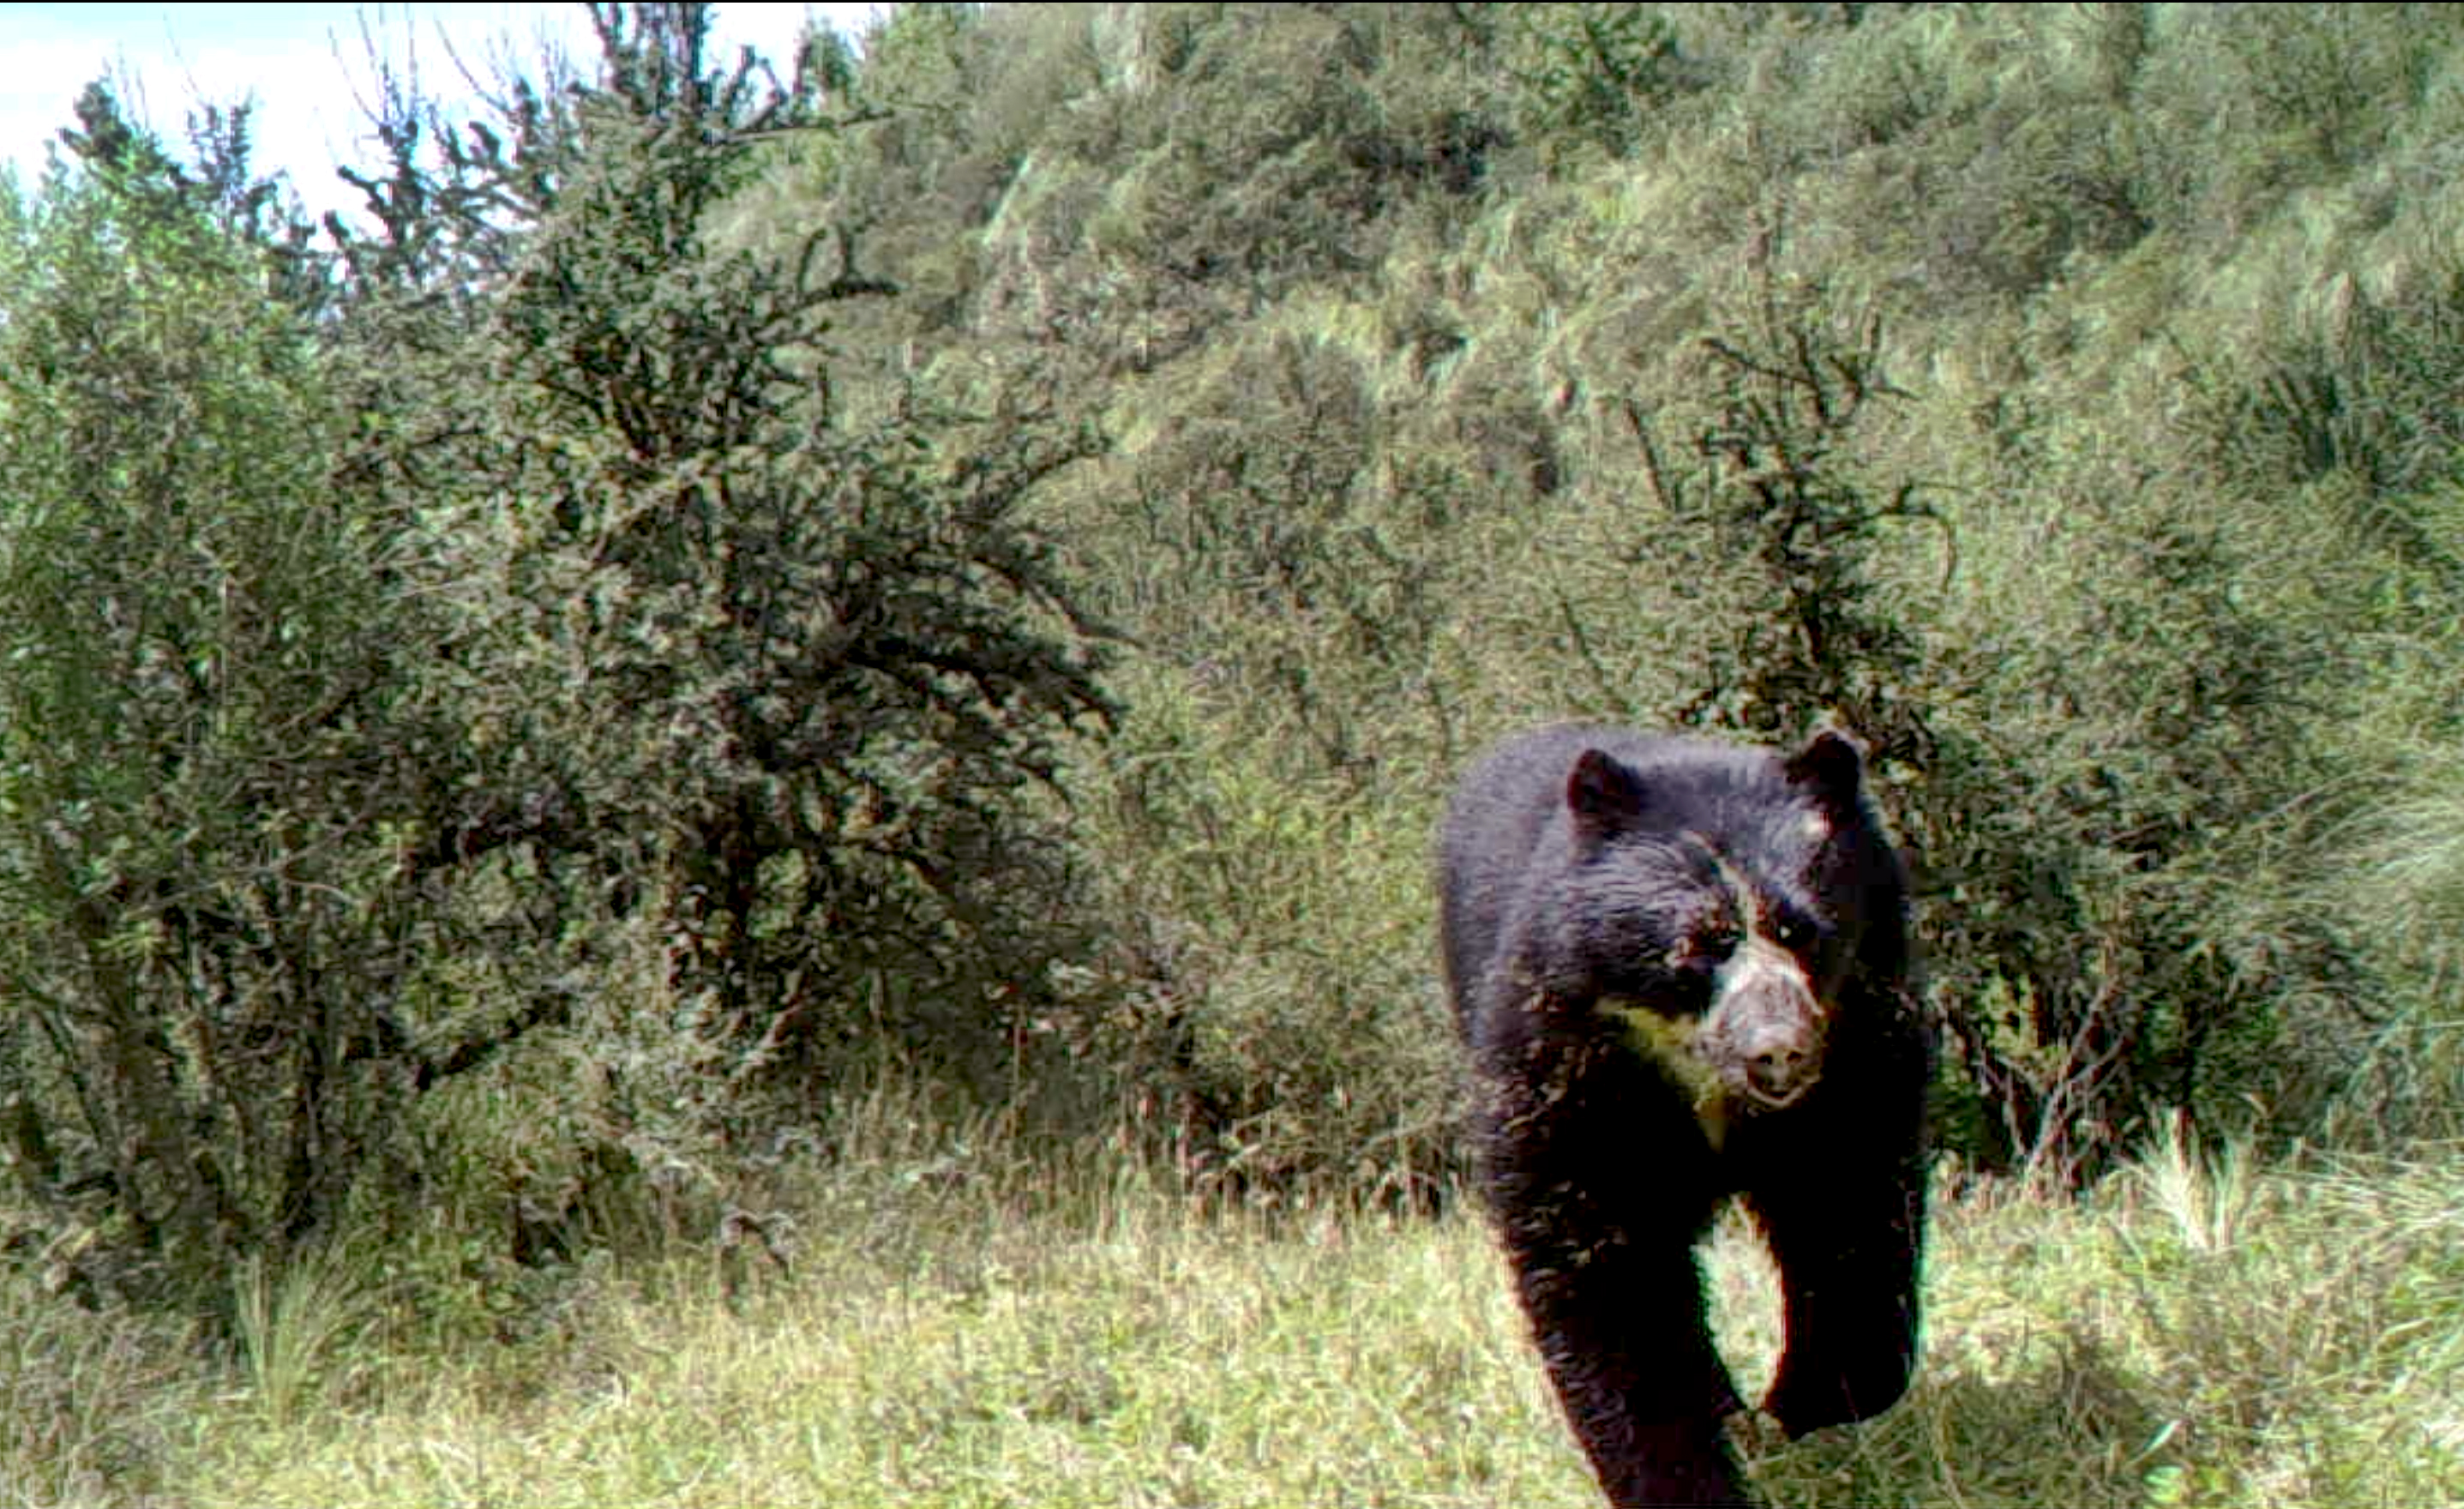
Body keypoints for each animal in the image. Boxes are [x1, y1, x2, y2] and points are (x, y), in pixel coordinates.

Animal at [1439, 724, 1932, 1499]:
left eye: (1804, 932)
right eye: (1699, 946)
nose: (1778, 1052)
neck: (1702, 1080)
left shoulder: (1858, 1048)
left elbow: (1847, 1204)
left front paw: (1819, 1404)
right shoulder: (1567, 1071)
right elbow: (1604, 1271)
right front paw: (1679, 1470)